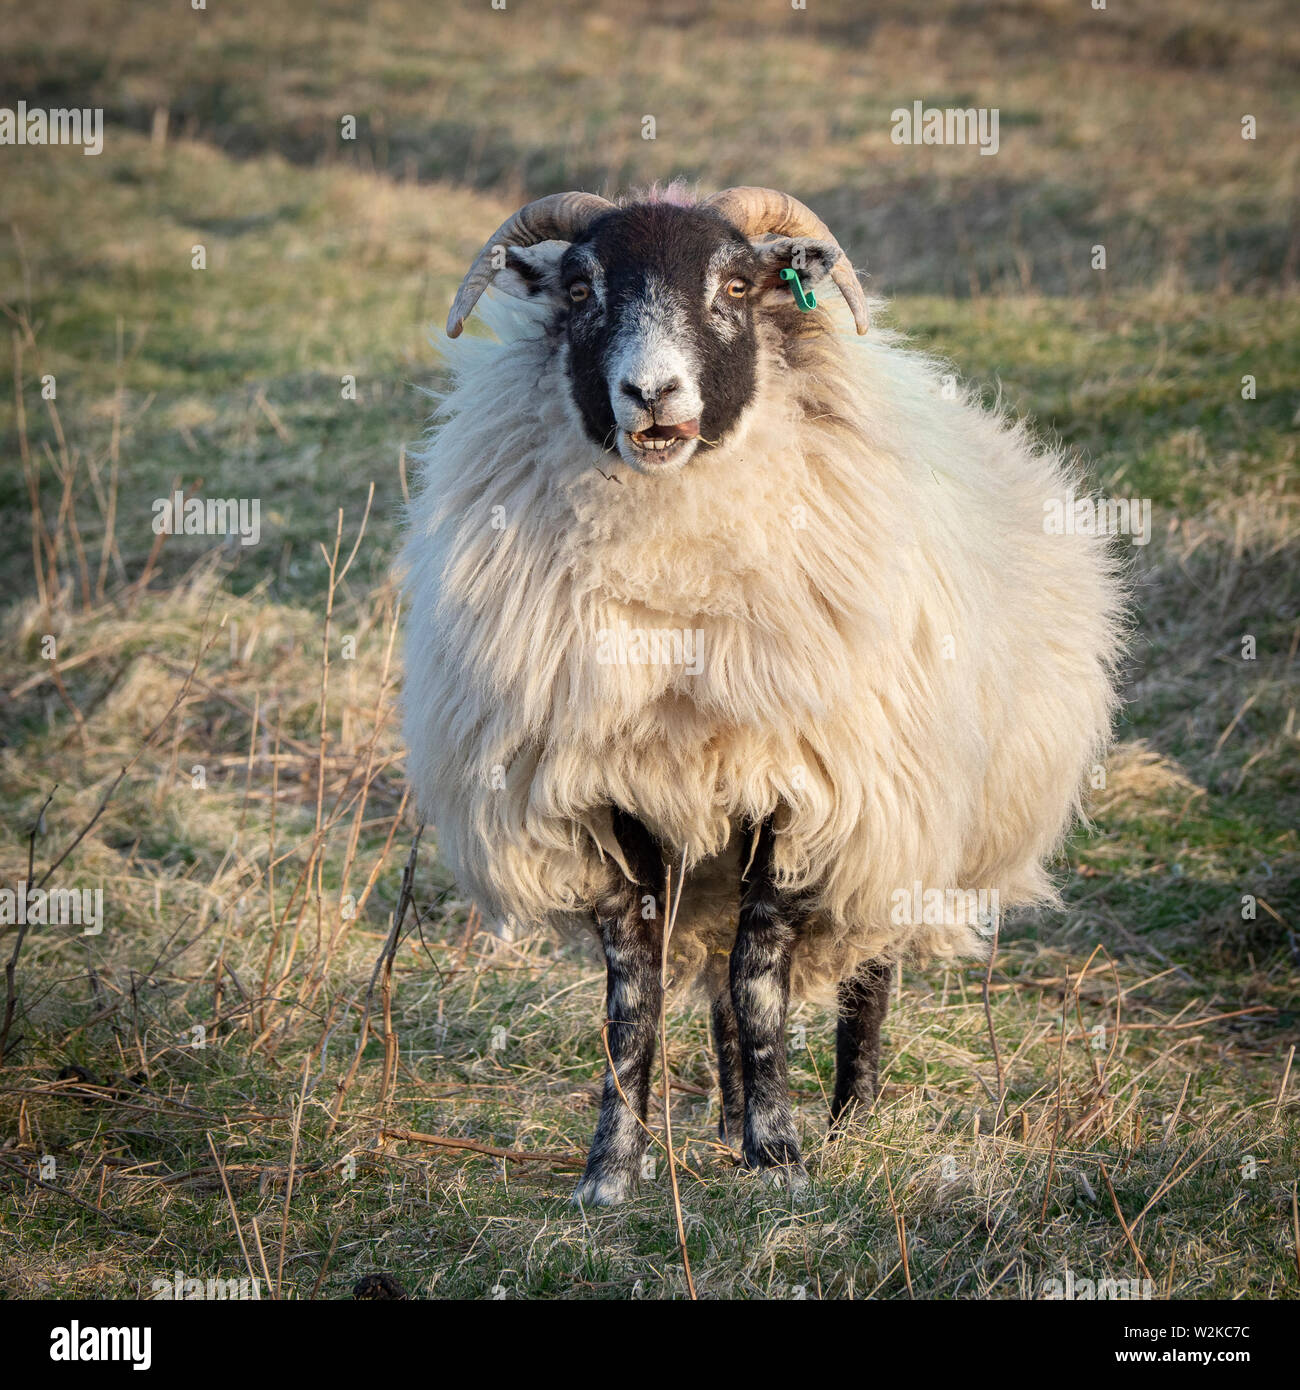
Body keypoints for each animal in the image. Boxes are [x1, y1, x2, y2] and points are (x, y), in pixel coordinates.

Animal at [400, 183, 1124, 1205]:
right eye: (580, 289)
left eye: (737, 285)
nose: (652, 393)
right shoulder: (603, 799)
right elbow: (635, 997)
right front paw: (612, 1172)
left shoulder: (807, 795)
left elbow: (758, 973)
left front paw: (781, 1154)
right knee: (709, 975)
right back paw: (729, 1117)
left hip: (902, 820)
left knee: (865, 973)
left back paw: (852, 1120)